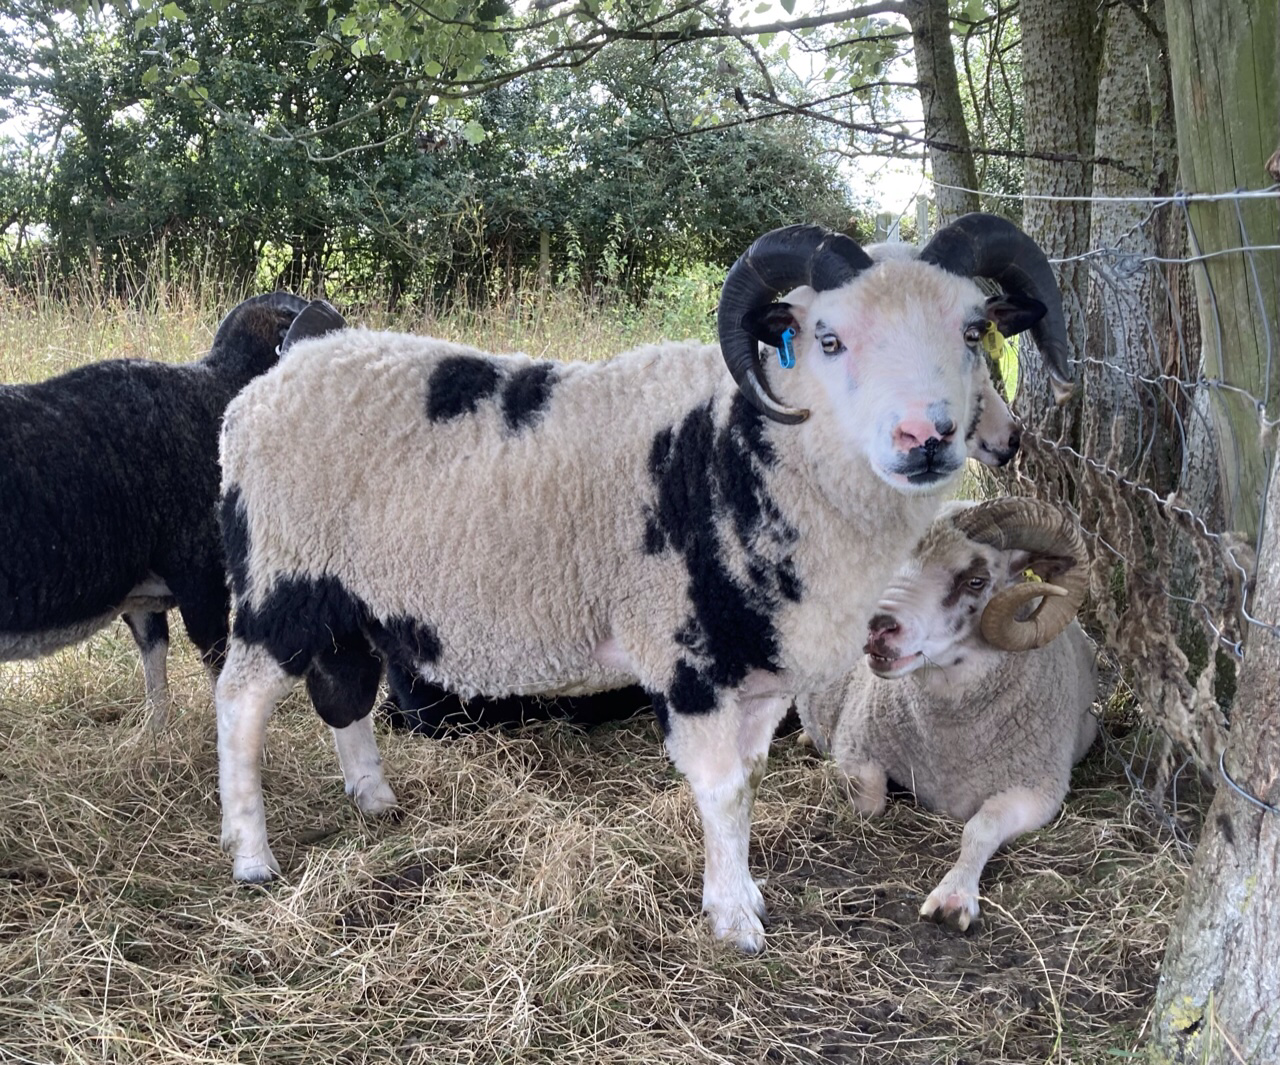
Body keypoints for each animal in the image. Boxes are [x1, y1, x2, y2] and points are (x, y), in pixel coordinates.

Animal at [797, 496, 1097, 931]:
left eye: (975, 580)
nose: (876, 628)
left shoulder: (1039, 789)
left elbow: (981, 828)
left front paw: (954, 895)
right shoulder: (854, 743)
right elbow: (869, 800)